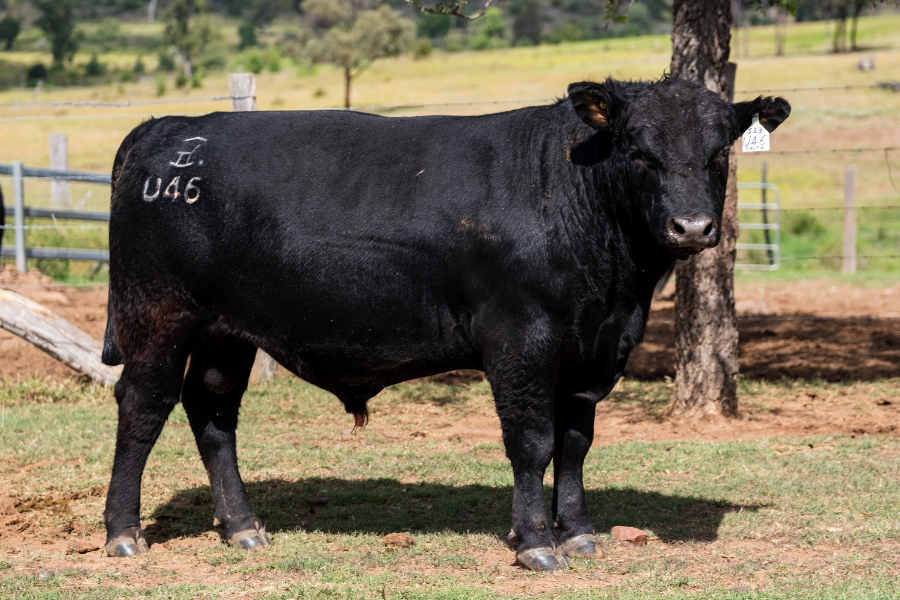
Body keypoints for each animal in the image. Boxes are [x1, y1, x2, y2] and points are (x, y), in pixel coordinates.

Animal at [100, 76, 790, 571]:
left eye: (719, 152)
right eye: (639, 151)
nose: (693, 227)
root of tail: (172, 129)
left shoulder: (592, 349)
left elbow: (574, 443)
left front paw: (579, 534)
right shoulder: (521, 340)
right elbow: (532, 442)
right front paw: (536, 543)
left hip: (227, 330)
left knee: (213, 410)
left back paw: (243, 528)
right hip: (158, 315)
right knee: (143, 405)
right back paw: (124, 533)